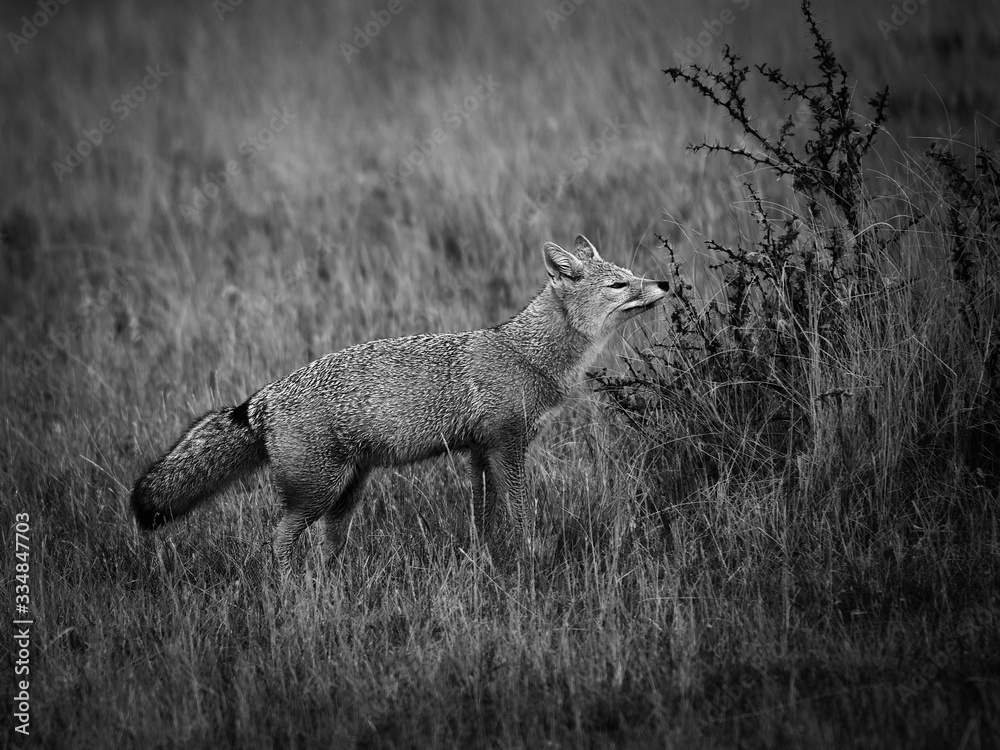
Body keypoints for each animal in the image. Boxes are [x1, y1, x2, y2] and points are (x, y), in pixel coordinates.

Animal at [131, 235, 669, 573]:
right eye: (619, 284)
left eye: (632, 274)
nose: (664, 283)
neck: (525, 352)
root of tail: (264, 397)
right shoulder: (509, 446)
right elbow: (520, 513)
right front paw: (532, 557)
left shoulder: (482, 452)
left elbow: (485, 518)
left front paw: (486, 561)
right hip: (318, 492)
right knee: (278, 539)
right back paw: (289, 588)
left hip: (345, 494)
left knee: (326, 545)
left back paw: (331, 585)